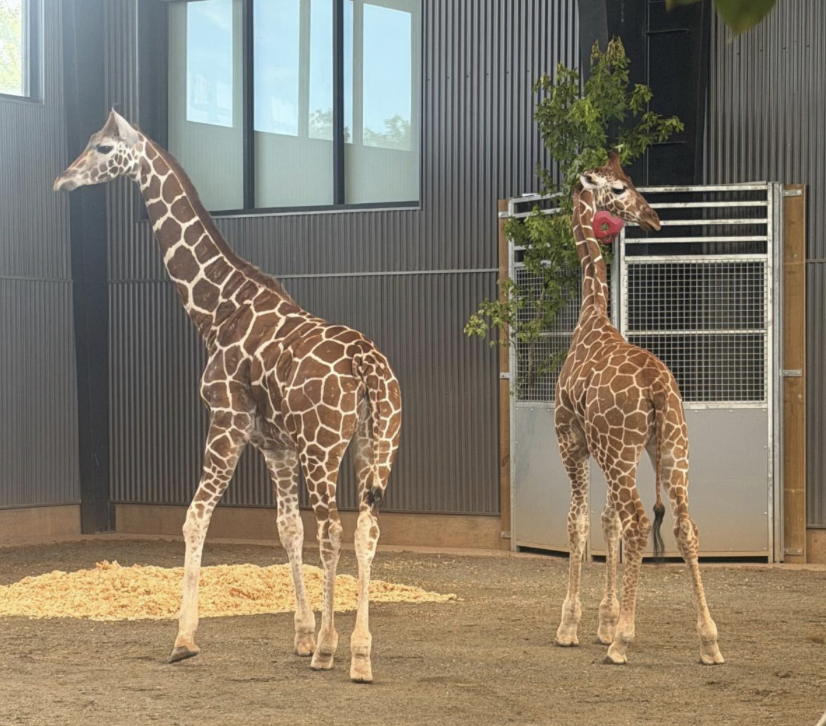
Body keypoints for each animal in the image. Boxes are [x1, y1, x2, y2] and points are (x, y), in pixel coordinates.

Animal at [54, 109, 402, 683]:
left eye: (103, 148)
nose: (63, 180)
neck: (218, 309)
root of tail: (367, 366)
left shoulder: (227, 419)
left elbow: (196, 517)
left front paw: (184, 639)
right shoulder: (274, 444)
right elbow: (287, 529)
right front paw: (301, 635)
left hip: (324, 448)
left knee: (334, 529)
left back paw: (333, 649)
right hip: (376, 445)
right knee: (365, 530)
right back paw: (360, 653)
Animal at [552, 151, 724, 666]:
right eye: (620, 187)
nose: (653, 217)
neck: (591, 317)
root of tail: (656, 390)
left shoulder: (572, 441)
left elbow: (579, 523)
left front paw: (574, 625)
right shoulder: (604, 450)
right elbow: (605, 521)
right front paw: (605, 620)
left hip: (621, 450)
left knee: (639, 520)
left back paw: (623, 643)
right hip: (670, 448)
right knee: (685, 525)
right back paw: (709, 640)